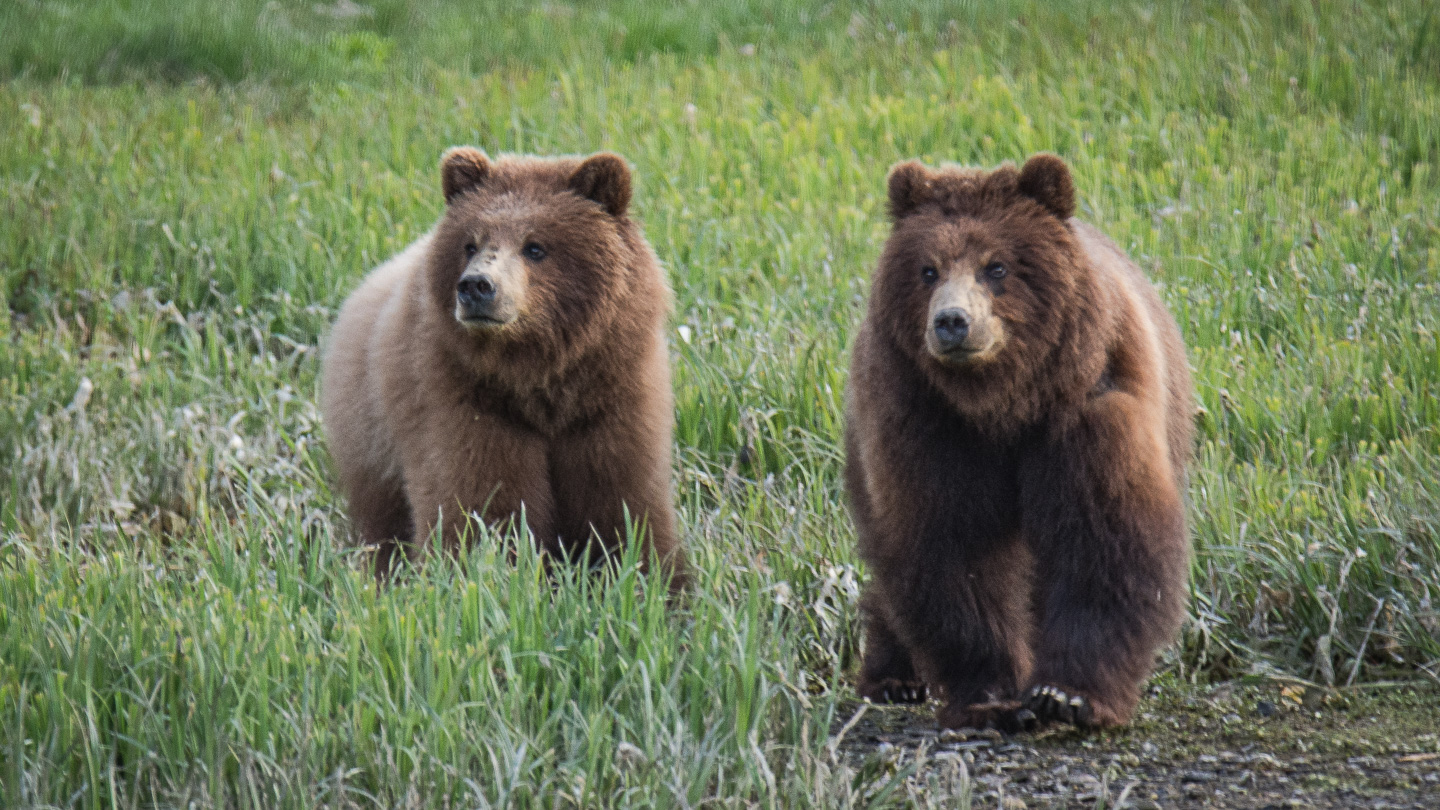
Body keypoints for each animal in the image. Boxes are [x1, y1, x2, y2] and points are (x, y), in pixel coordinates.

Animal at [321, 147, 687, 589]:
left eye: (536, 247)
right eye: (470, 243)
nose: (476, 286)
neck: (537, 374)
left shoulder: (609, 398)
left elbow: (624, 499)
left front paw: (656, 579)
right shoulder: (465, 399)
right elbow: (481, 502)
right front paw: (487, 574)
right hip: (371, 446)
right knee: (382, 526)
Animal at [845, 153, 1193, 731]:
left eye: (997, 267)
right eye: (928, 269)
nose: (952, 322)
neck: (1004, 402)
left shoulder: (1088, 407)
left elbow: (1104, 539)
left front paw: (1066, 694)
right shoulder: (929, 423)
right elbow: (951, 545)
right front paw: (989, 694)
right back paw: (891, 676)